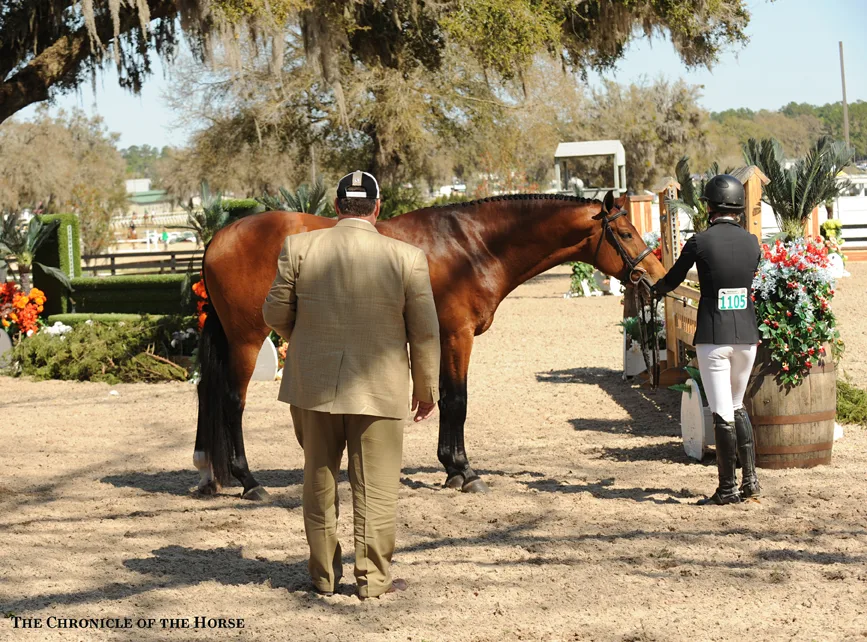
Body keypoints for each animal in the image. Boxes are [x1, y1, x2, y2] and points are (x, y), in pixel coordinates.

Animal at [193, 190, 666, 500]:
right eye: (626, 233)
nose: (657, 277)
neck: (471, 246)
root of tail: (220, 237)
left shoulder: (439, 339)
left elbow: (445, 399)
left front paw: (452, 468)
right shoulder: (456, 335)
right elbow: (457, 400)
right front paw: (465, 471)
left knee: (208, 392)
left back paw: (210, 475)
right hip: (247, 338)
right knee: (232, 401)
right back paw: (249, 482)